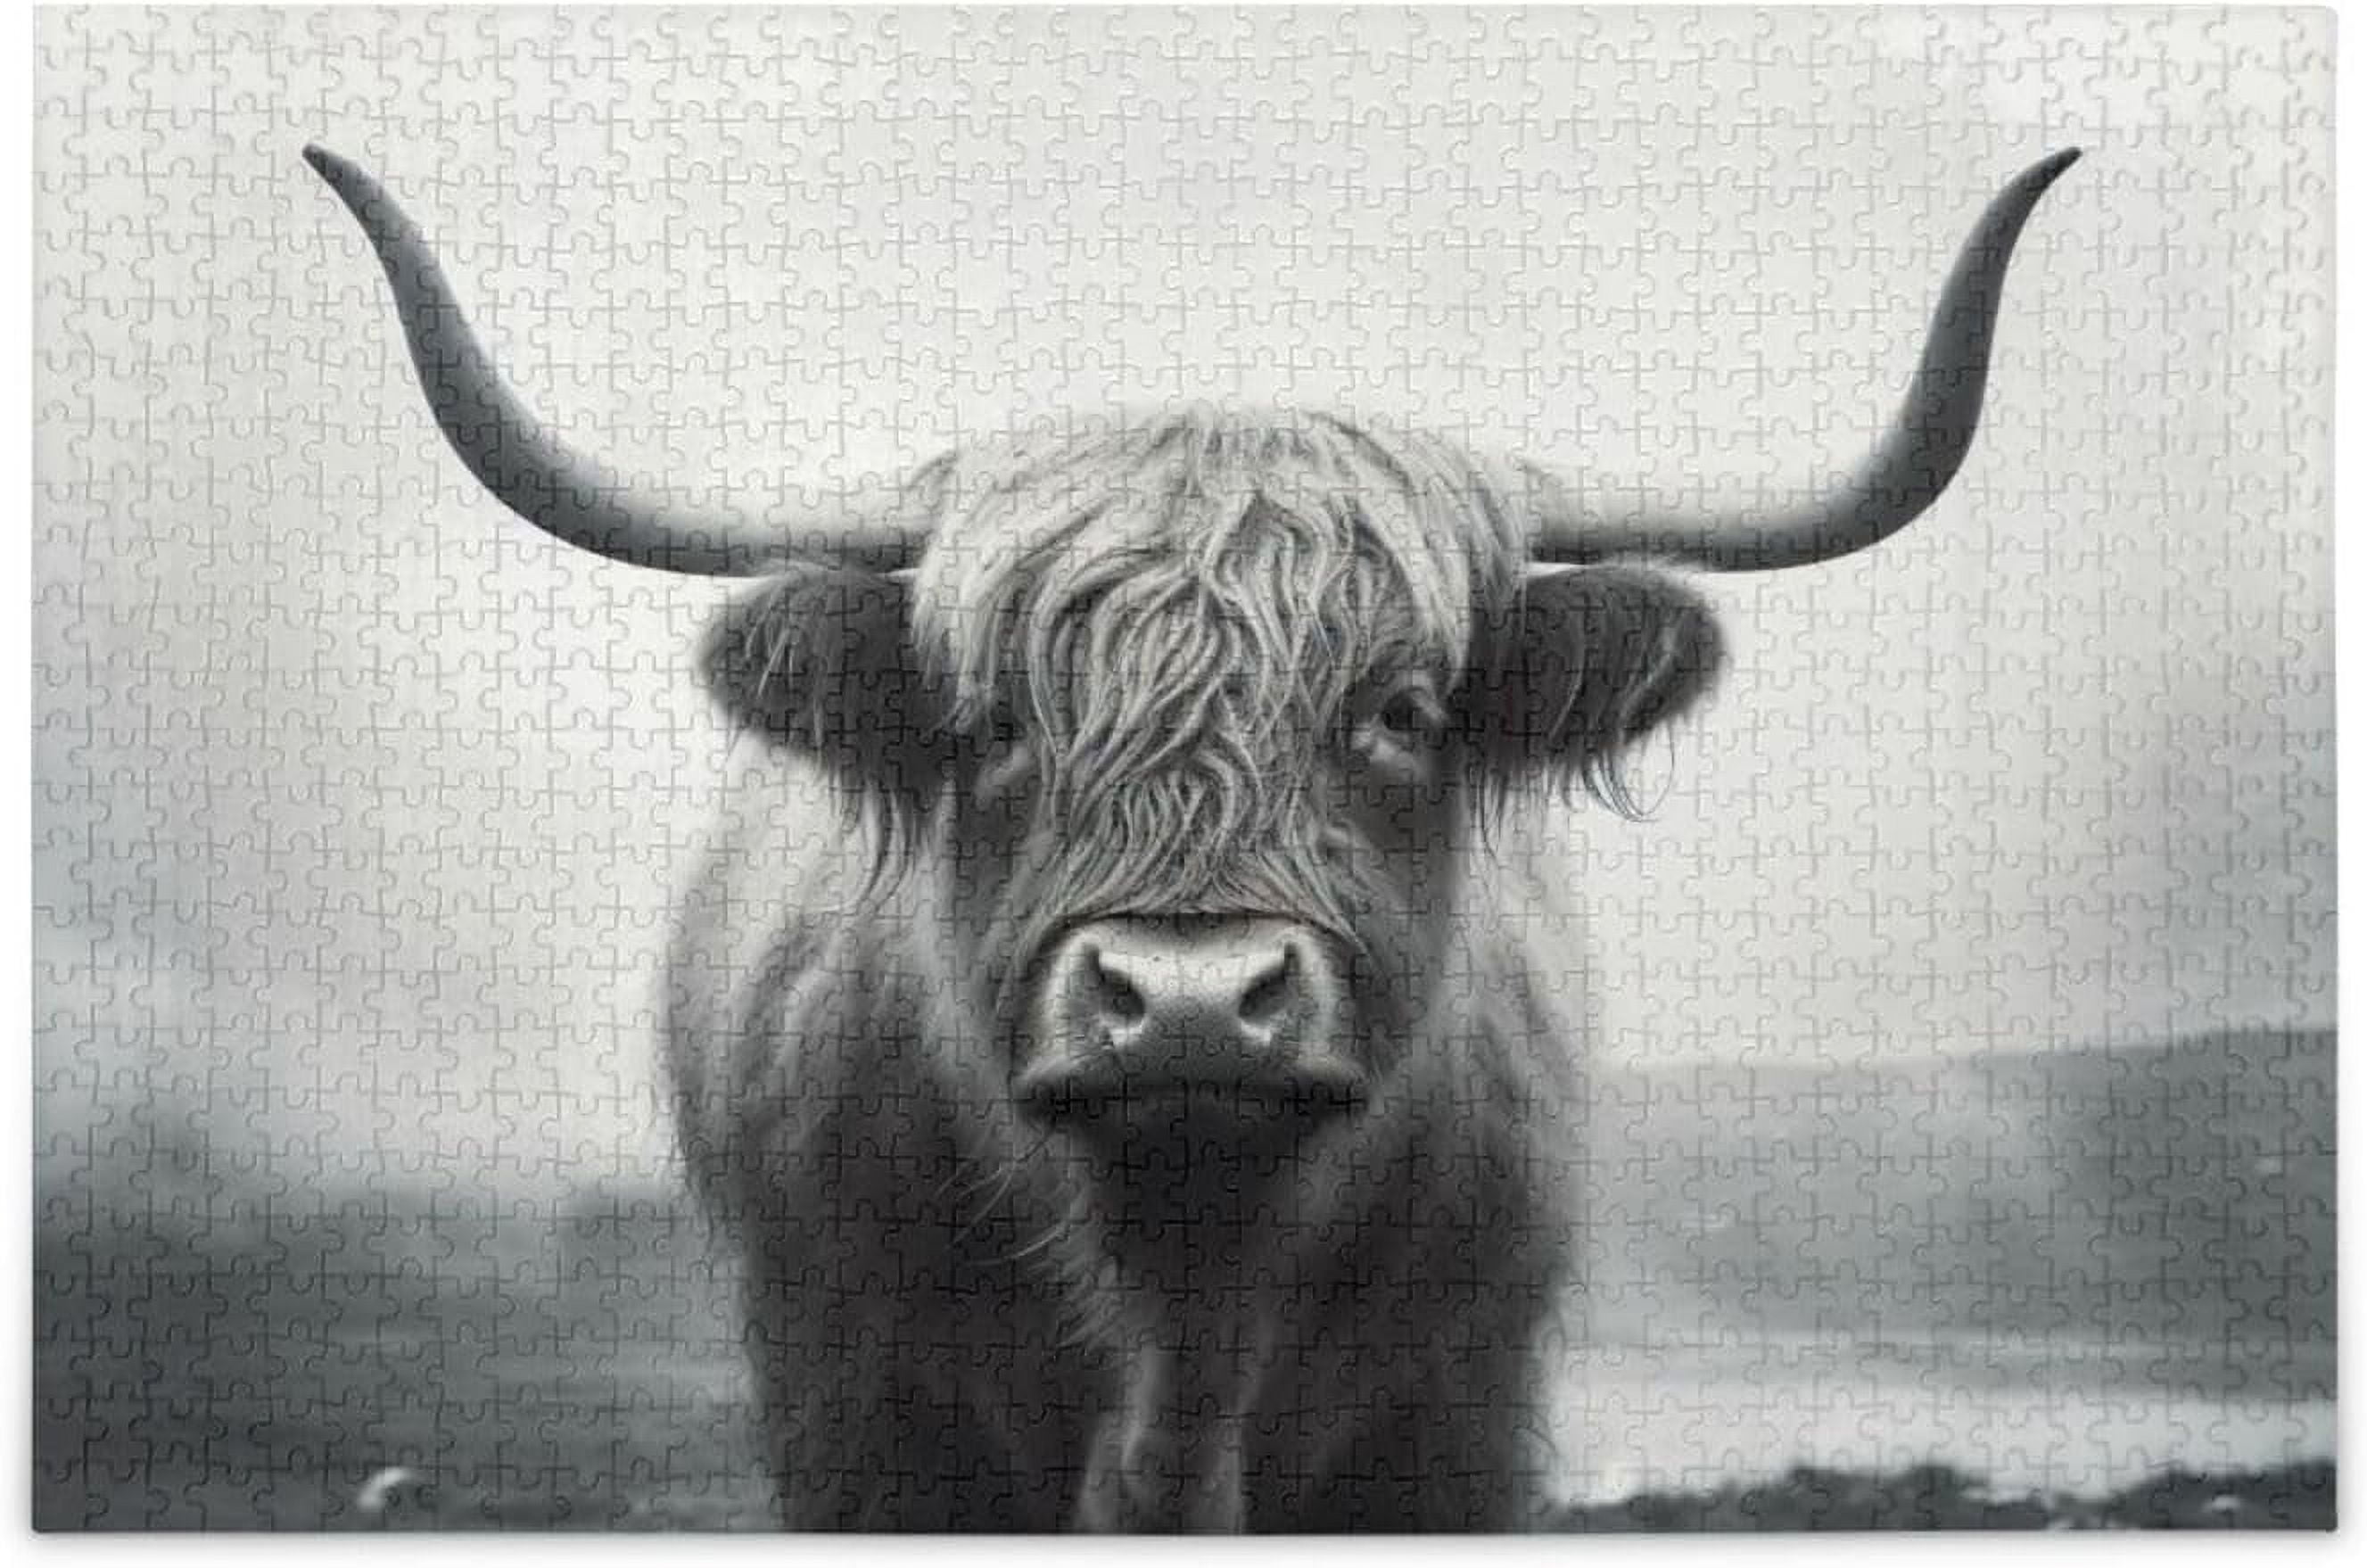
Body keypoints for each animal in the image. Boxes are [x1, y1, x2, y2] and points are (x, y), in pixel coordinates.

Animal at [307, 144, 2077, 1531]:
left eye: (1401, 710)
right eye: (994, 722)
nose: (1187, 1004)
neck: (1183, 1321)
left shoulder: (1454, 1406)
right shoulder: (857, 1394)